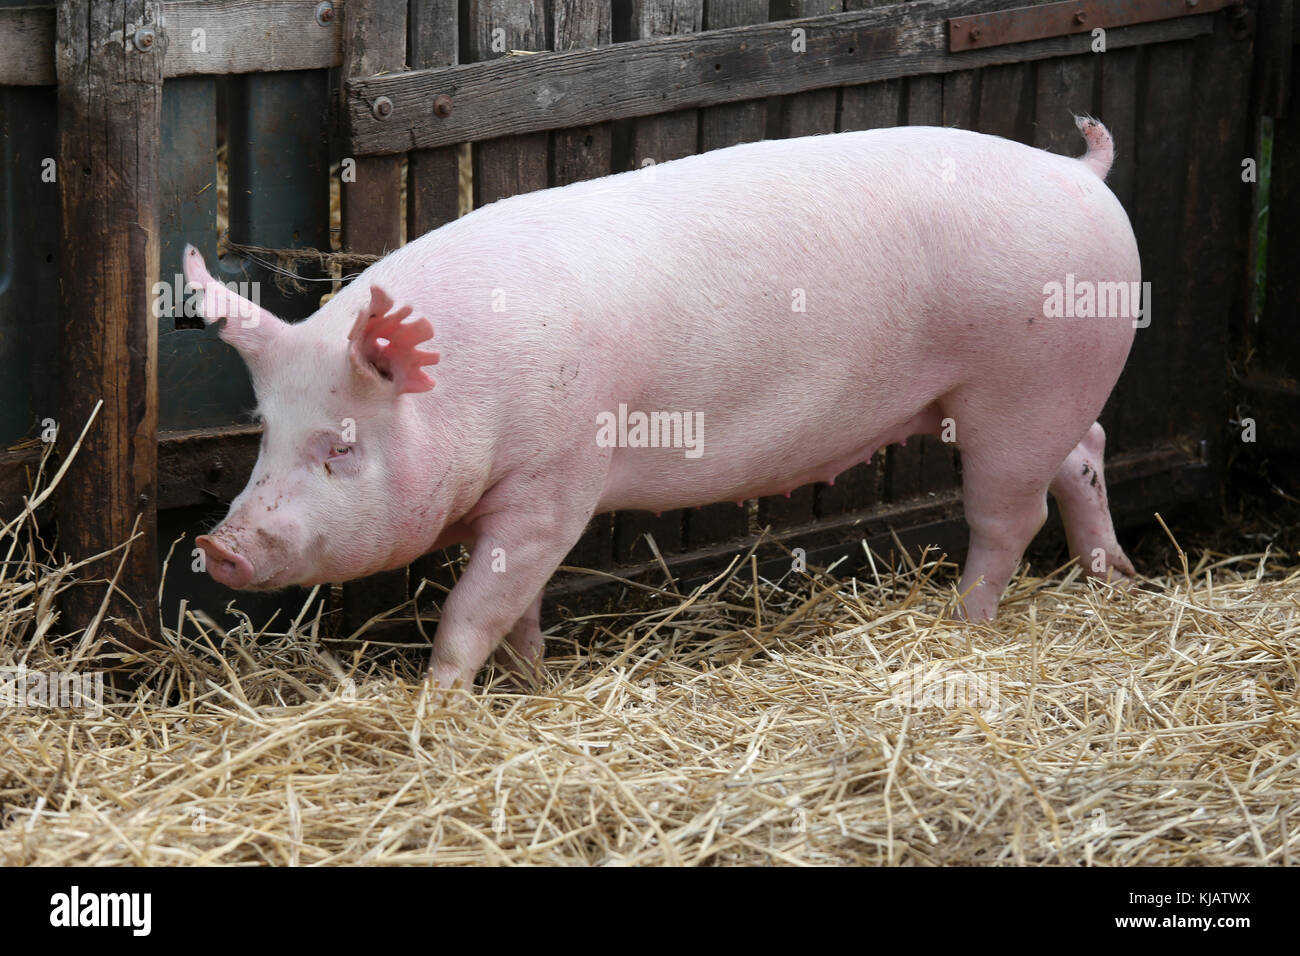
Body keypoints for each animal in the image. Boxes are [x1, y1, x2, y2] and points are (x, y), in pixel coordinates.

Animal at [190, 116, 1138, 690]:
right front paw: (534, 682)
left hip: (1019, 387)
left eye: (341, 447)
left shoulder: (557, 480)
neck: (470, 393)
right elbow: (518, 609)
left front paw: (439, 699)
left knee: (1009, 518)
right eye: (266, 434)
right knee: (1086, 451)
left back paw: (964, 623)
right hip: (1045, 395)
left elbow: (476, 607)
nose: (218, 546)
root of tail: (1083, 171)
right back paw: (1113, 579)